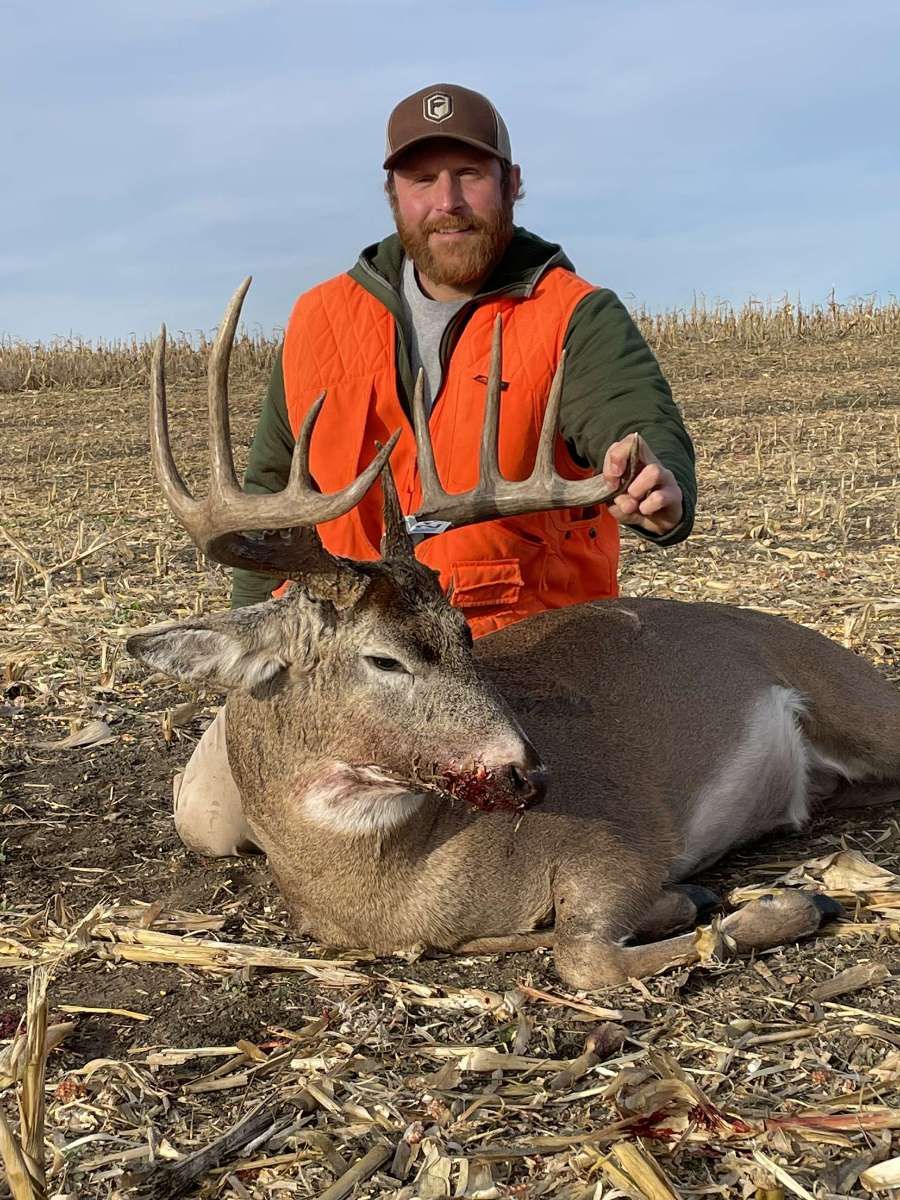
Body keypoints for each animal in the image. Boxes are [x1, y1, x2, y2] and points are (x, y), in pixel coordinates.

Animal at [126, 280, 900, 990]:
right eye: (384, 658)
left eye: (464, 632)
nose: (530, 771)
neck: (385, 886)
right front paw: (697, 898)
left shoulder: (621, 838)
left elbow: (582, 956)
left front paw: (787, 906)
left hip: (854, 701)